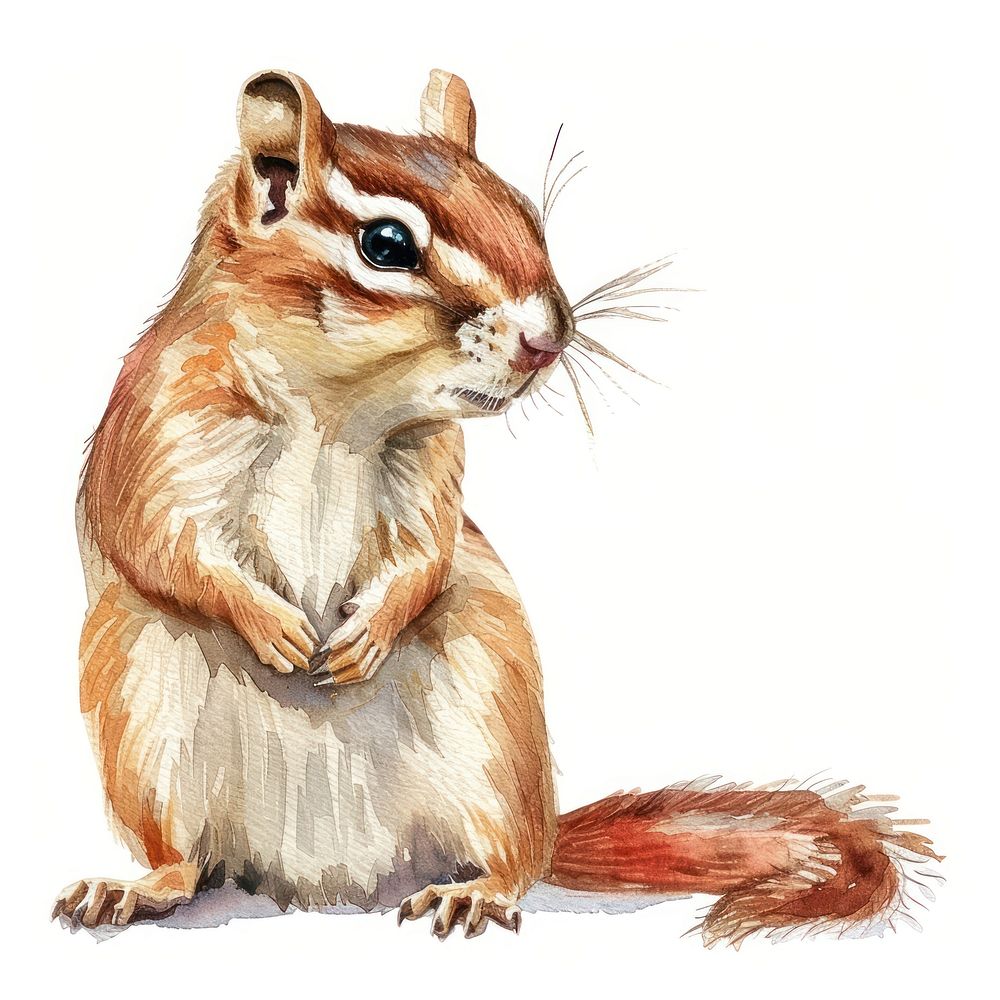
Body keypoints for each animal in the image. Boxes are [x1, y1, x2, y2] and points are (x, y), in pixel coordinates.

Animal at [53, 69, 940, 944]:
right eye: (386, 245)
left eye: (523, 213)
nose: (550, 339)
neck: (336, 410)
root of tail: (326, 876)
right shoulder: (153, 432)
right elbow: (161, 541)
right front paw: (270, 622)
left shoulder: (431, 475)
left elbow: (426, 553)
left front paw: (367, 631)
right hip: (142, 726)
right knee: (189, 860)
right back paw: (135, 888)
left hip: (493, 732)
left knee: (513, 861)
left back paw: (473, 893)